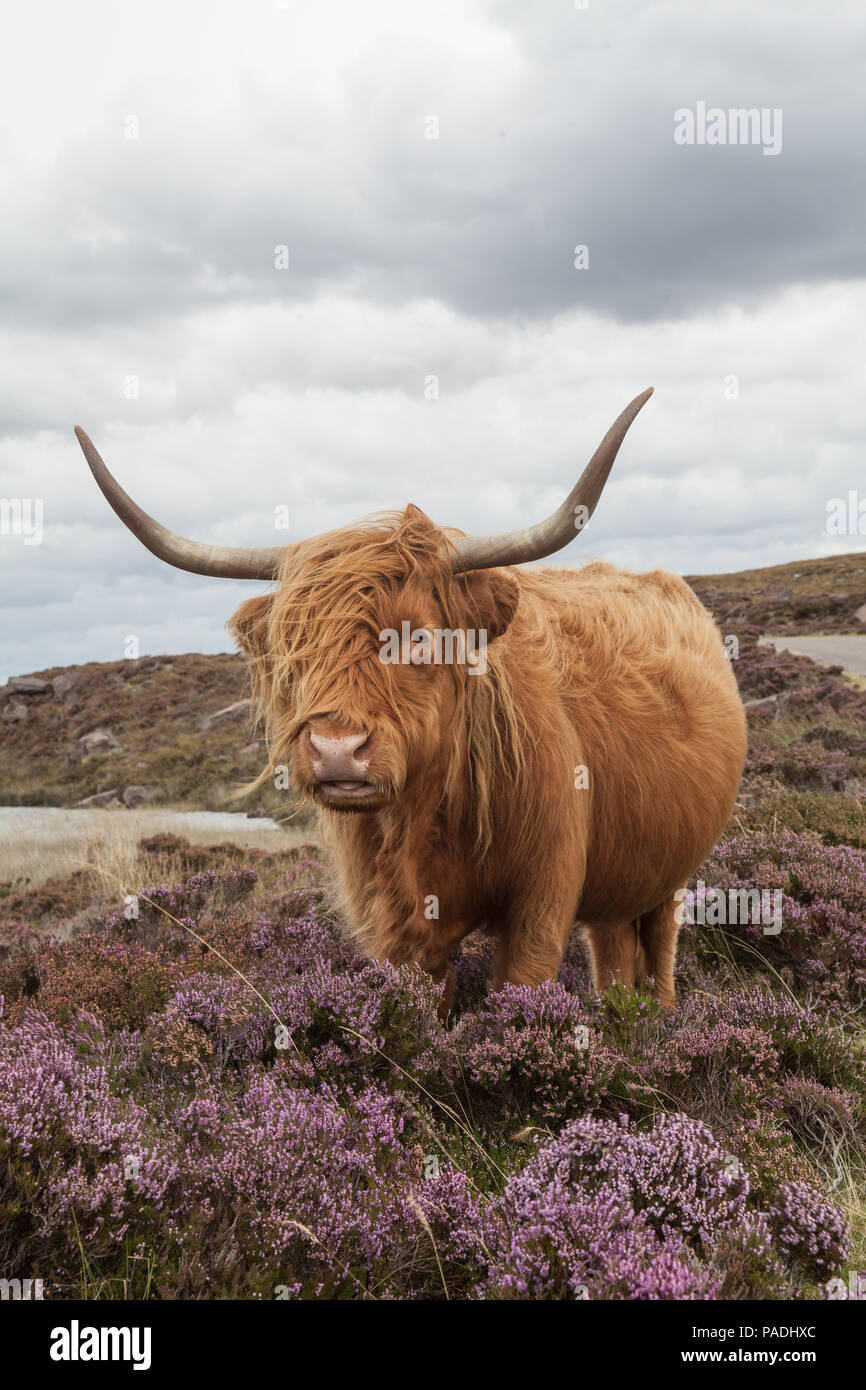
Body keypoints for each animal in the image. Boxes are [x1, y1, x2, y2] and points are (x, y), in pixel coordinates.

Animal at [75, 389, 746, 1013]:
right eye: (293, 646)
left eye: (418, 636)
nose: (337, 749)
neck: (428, 815)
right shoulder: (394, 926)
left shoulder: (540, 905)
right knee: (613, 952)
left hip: (671, 872)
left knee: (657, 951)